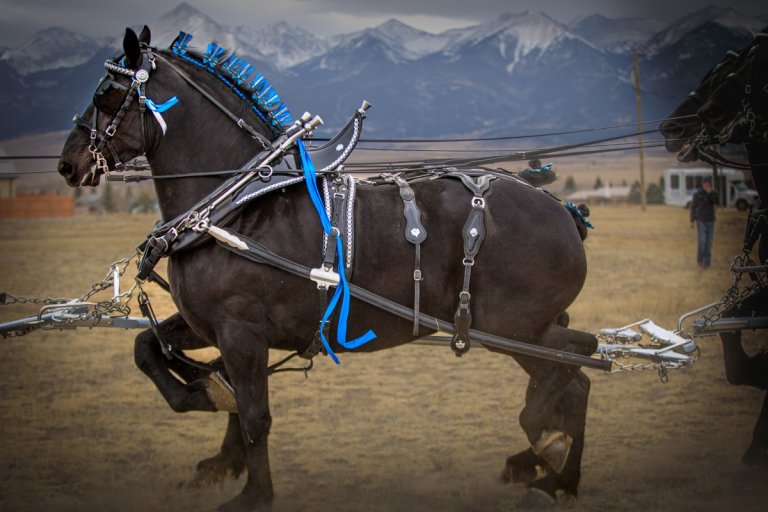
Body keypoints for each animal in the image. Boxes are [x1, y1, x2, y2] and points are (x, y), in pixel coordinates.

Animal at [58, 27, 598, 511]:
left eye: (106, 94)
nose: (67, 163)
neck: (233, 206)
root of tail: (563, 210)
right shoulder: (211, 325)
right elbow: (151, 351)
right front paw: (214, 425)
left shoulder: (239, 329)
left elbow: (255, 416)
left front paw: (254, 494)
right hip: (522, 329)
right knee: (576, 381)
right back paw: (557, 478)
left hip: (511, 328)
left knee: (580, 358)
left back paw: (546, 448)